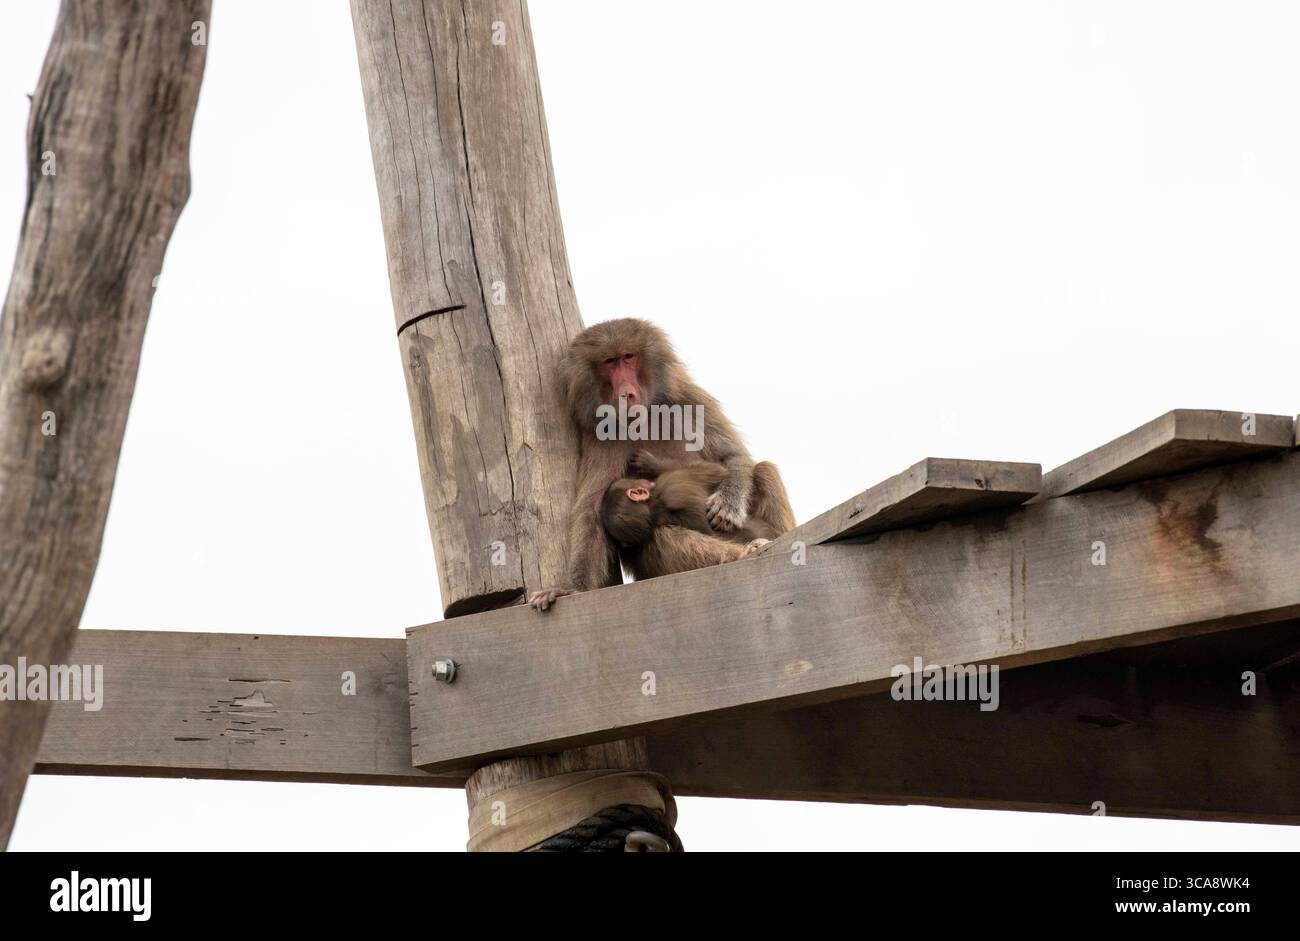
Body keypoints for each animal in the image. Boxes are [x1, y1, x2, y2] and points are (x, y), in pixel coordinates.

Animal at [528, 318, 796, 610]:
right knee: (661, 535)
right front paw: (571, 588)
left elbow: (731, 457)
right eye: (609, 362)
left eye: (628, 357)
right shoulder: (602, 435)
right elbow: (592, 509)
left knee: (763, 470)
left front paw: (727, 504)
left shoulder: (689, 398)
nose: (626, 394)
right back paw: (744, 552)